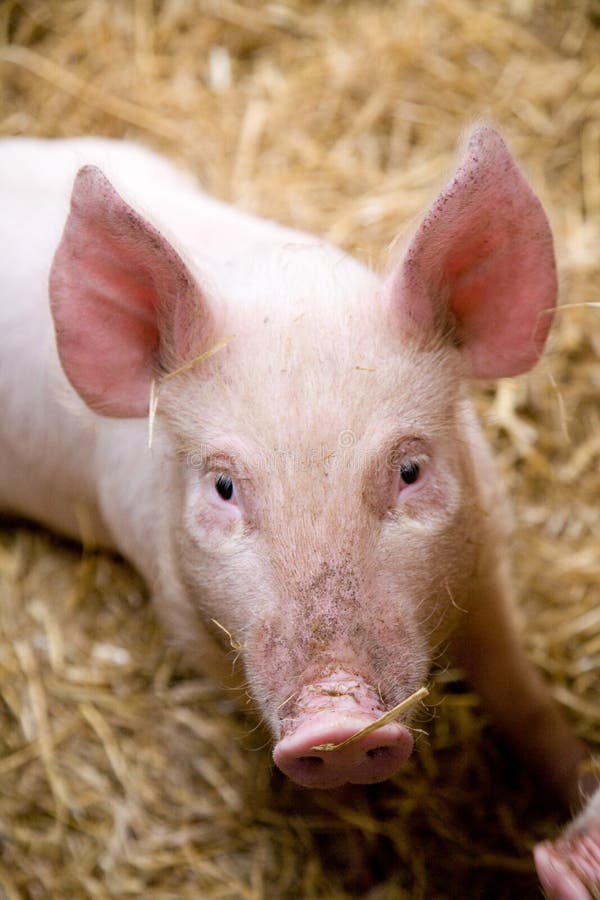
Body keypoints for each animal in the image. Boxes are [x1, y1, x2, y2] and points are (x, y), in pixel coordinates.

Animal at [0, 129, 597, 897]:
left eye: (410, 470)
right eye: (224, 487)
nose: (335, 718)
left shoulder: (487, 559)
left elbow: (521, 695)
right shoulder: (183, 618)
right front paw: (350, 860)